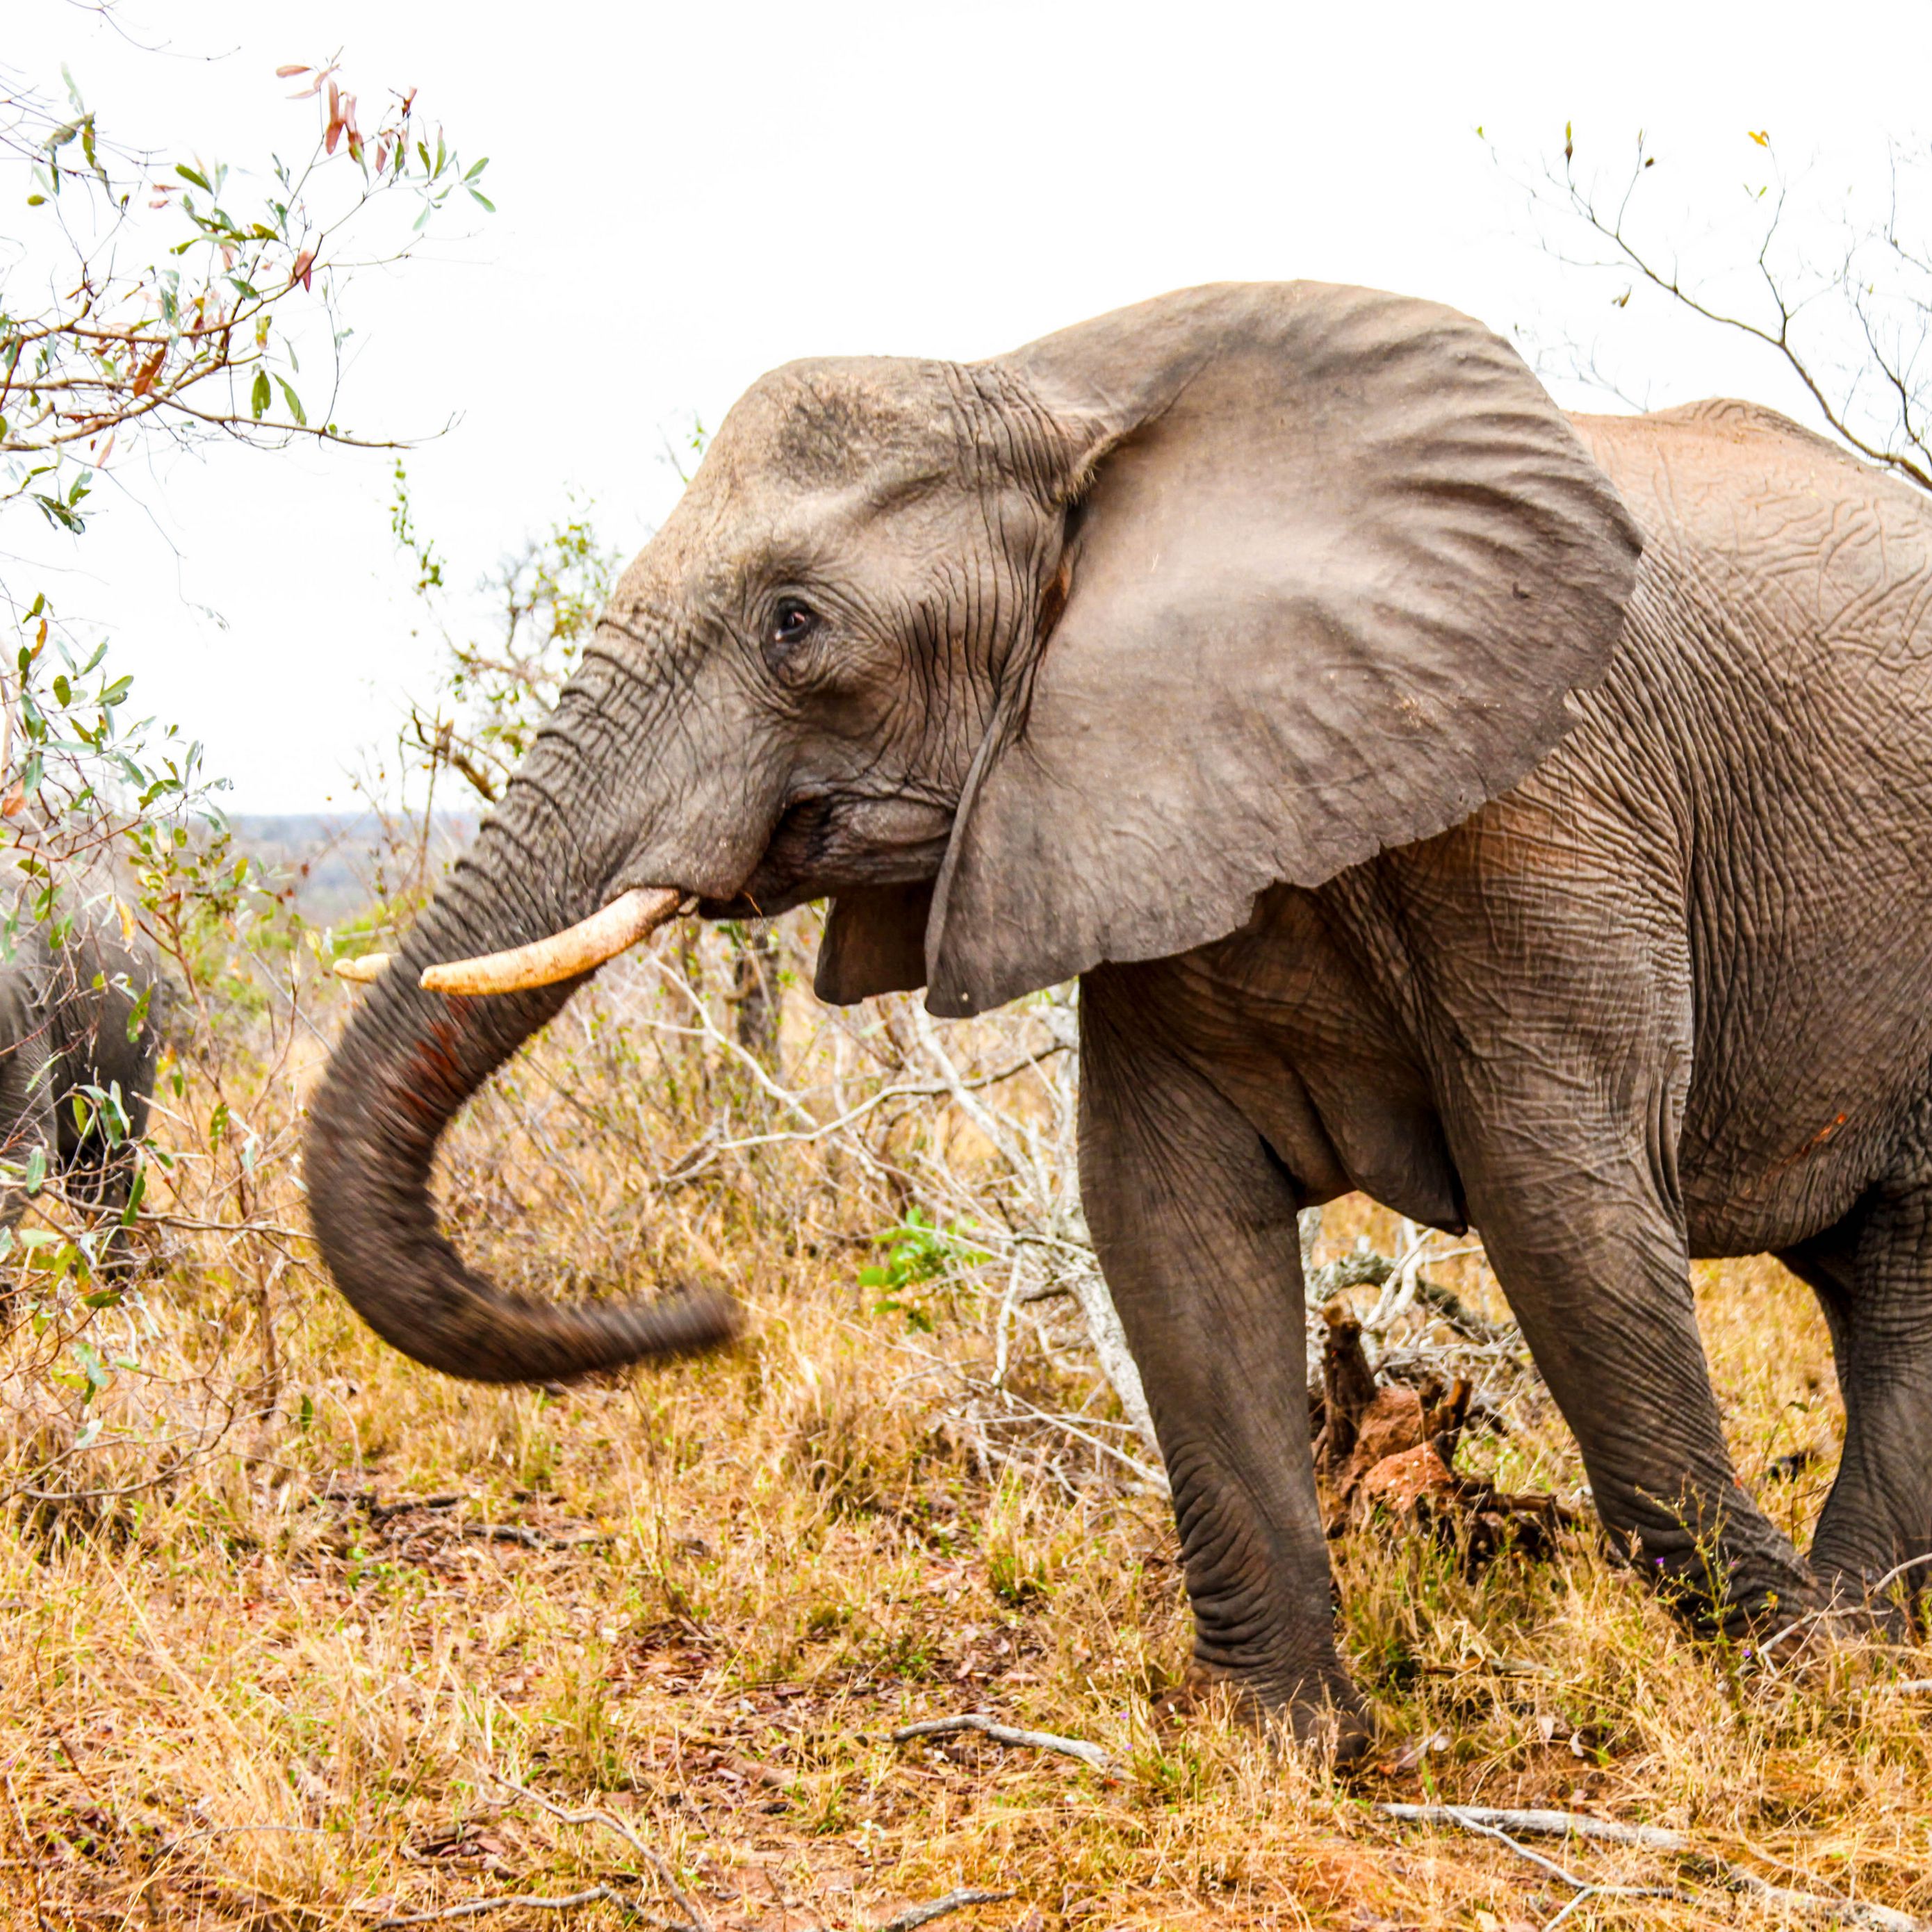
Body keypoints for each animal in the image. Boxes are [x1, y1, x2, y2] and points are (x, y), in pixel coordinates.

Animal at [306, 281, 1932, 1756]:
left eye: (794, 624)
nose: (711, 1315)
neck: (1053, 388)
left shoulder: (1552, 799)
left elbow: (1566, 1206)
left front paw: (1792, 1678)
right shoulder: (1132, 797)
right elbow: (1167, 1219)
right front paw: (1295, 1749)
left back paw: (1856, 1642)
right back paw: (1876, 1629)